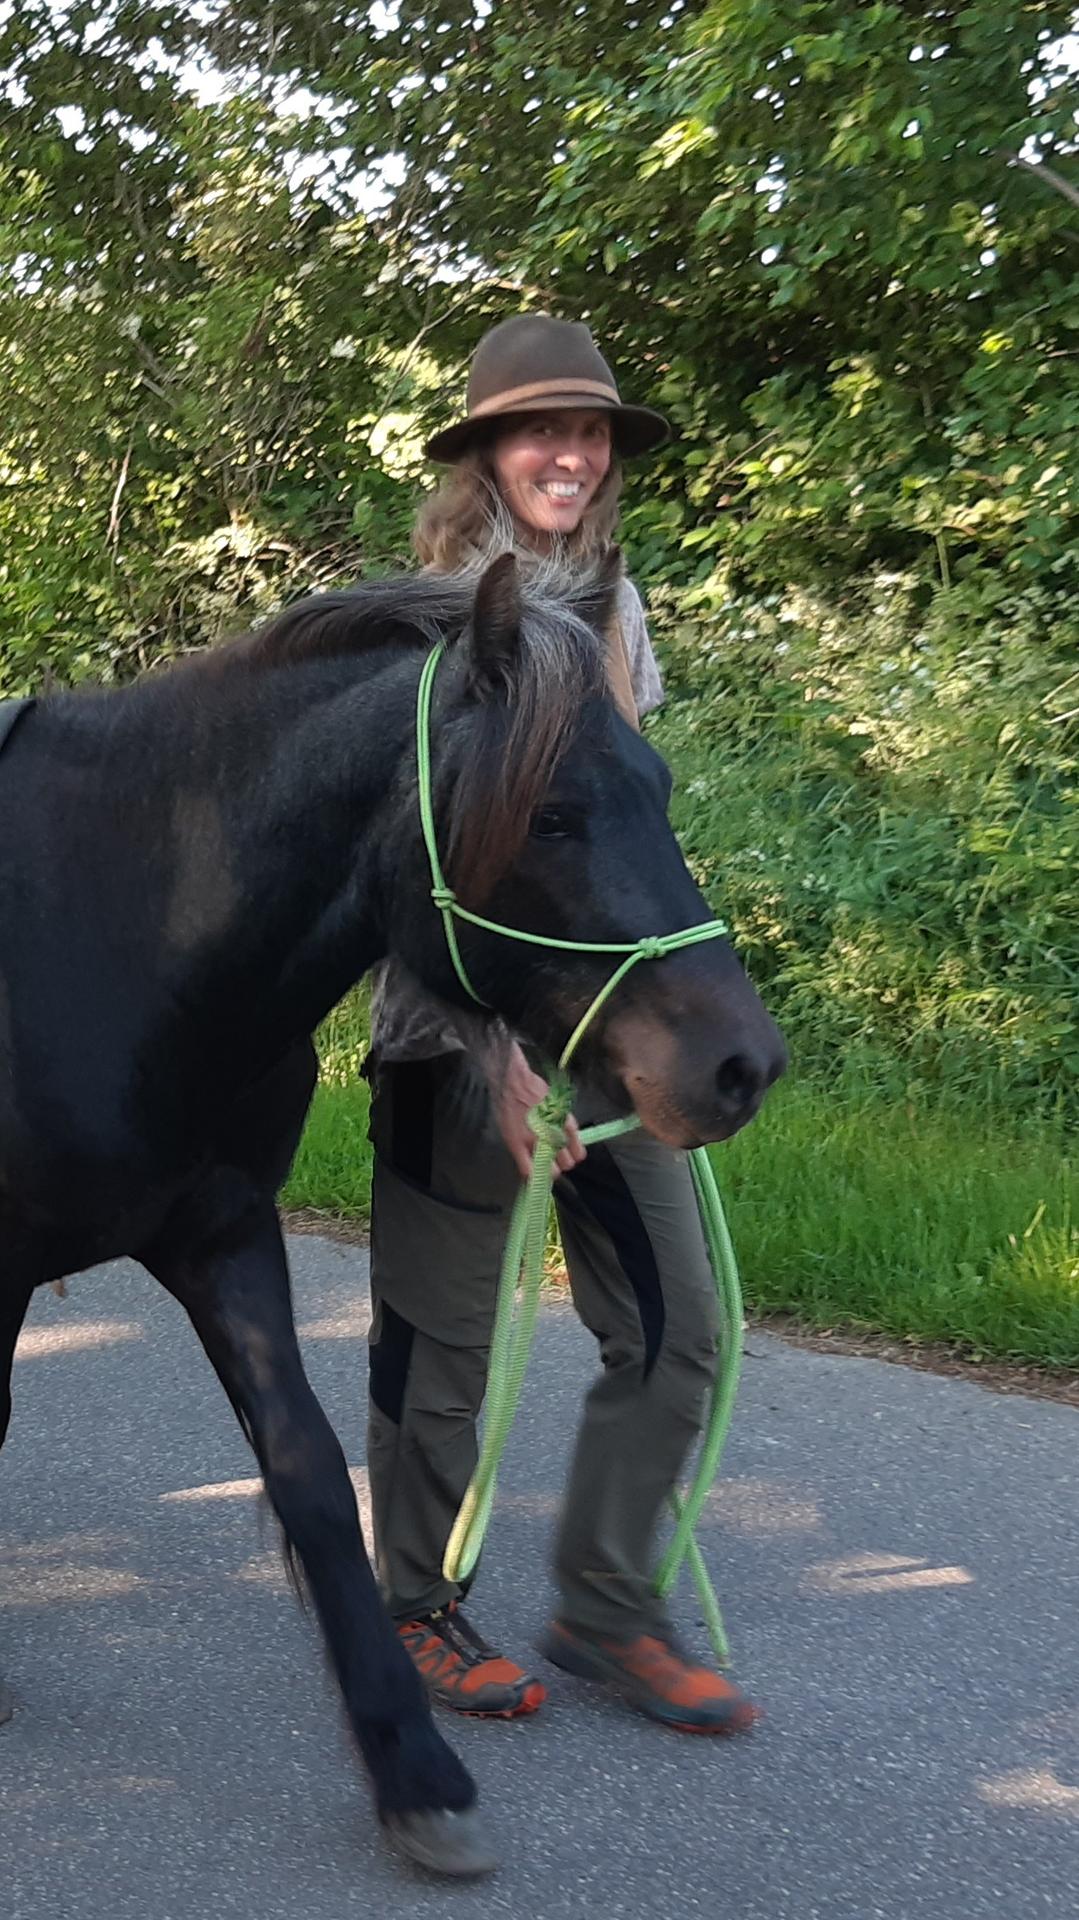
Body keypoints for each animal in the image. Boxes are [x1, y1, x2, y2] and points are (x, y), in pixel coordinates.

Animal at [0, 549, 786, 1875]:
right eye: (551, 814)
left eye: (658, 786)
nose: (740, 1066)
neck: (103, 927)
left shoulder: (221, 1237)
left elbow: (313, 1476)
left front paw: (413, 1767)